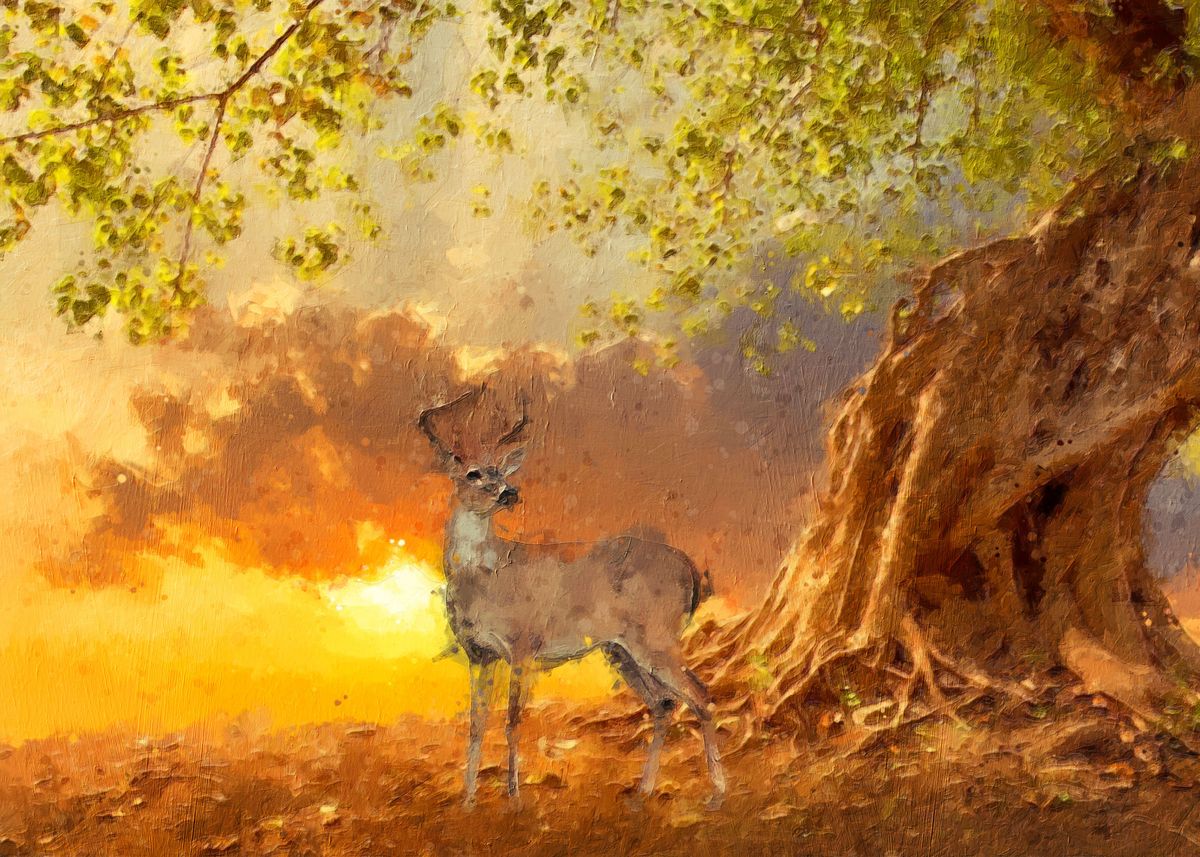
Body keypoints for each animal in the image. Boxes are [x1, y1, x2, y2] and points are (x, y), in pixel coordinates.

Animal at [418, 386, 726, 809]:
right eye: (474, 473)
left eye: (502, 470)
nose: (510, 493)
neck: (485, 577)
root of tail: (692, 571)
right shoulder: (478, 652)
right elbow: (476, 722)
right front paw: (468, 800)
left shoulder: (523, 643)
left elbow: (512, 720)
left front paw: (514, 797)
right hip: (620, 650)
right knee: (664, 703)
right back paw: (641, 794)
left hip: (656, 635)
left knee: (700, 693)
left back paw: (717, 793)